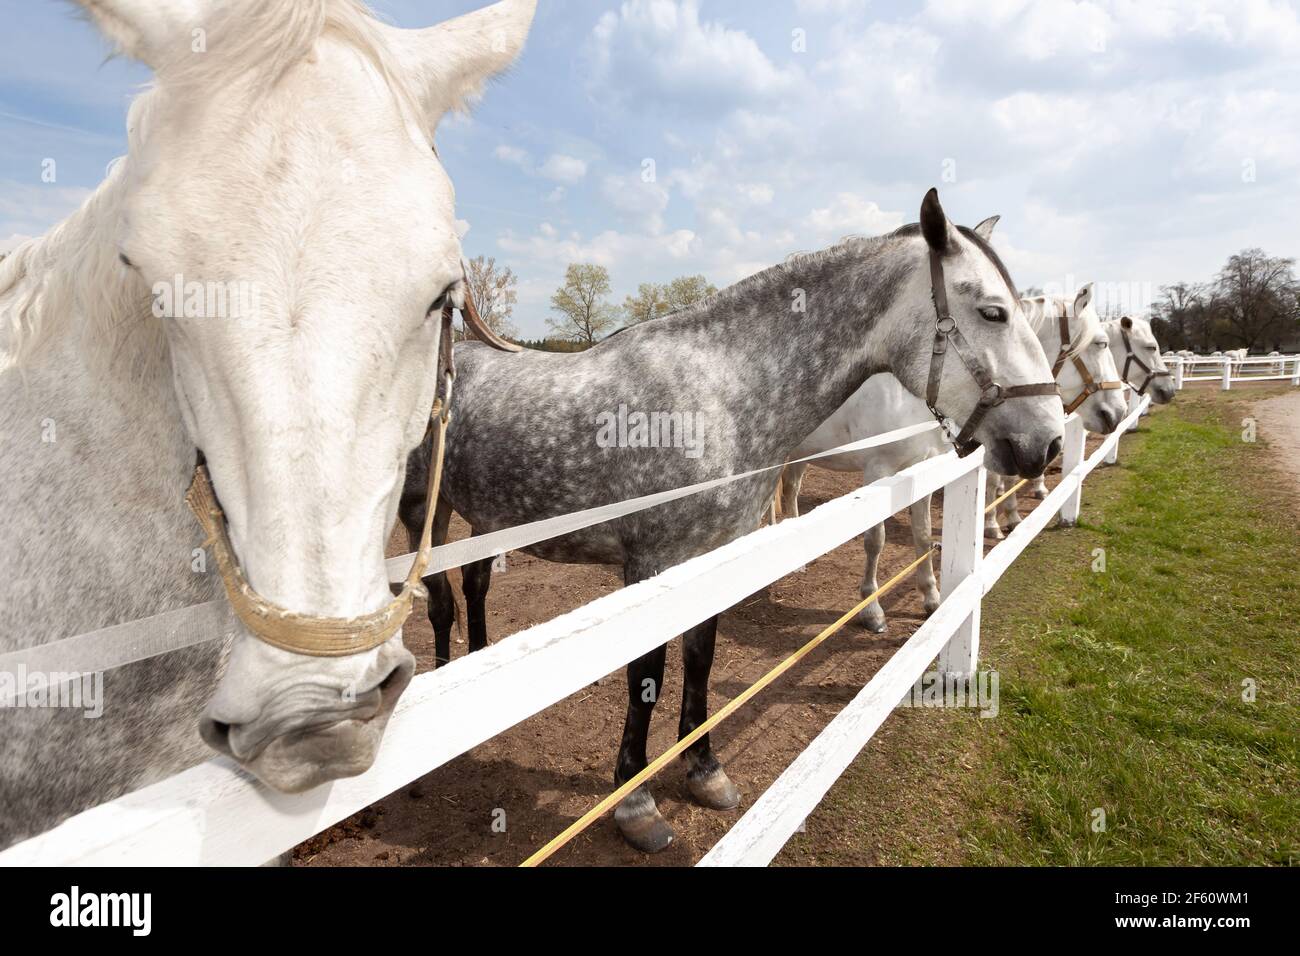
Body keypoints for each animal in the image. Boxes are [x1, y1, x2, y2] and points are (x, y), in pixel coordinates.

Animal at [399, 189, 1064, 852]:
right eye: (993, 312)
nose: (1047, 441)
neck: (718, 396)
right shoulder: (650, 563)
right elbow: (647, 674)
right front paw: (635, 804)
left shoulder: (712, 558)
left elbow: (700, 660)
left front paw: (704, 771)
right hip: (422, 516)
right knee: (440, 602)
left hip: (486, 516)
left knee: (476, 586)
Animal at [778, 264, 1126, 631]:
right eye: (1100, 343)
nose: (1116, 412)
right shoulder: (878, 472)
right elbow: (875, 540)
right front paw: (872, 609)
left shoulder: (923, 470)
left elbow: (923, 535)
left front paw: (931, 597)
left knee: (791, 492)